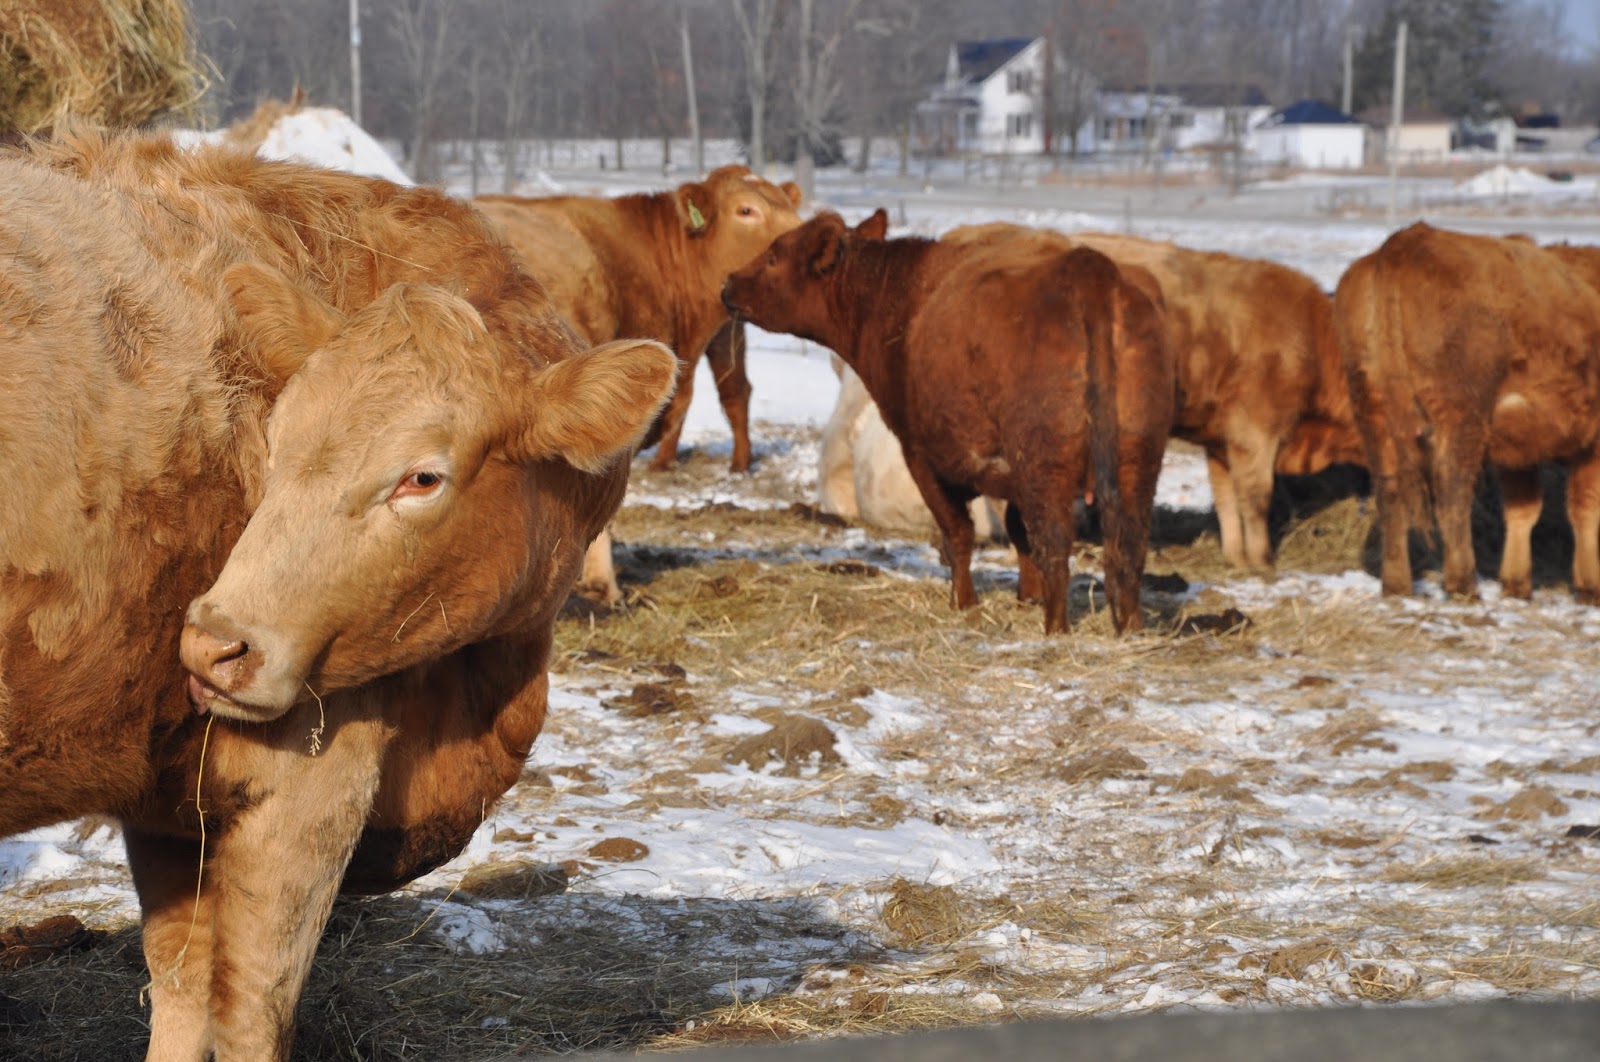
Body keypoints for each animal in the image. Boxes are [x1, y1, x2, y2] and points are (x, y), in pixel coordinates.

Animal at [0, 129, 677, 1060]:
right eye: (274, 437)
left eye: (422, 477)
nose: (212, 645)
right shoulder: (313, 775)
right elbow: (252, 1007)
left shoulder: (171, 803)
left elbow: (181, 985)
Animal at [723, 210, 1175, 634]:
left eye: (774, 256)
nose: (728, 282)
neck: (897, 300)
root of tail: (1088, 270)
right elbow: (1016, 531)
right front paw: (1026, 597)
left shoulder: (922, 455)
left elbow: (958, 532)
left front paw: (964, 602)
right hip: (1137, 462)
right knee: (1128, 546)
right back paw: (1130, 628)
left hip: (1044, 463)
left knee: (1055, 543)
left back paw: (1056, 629)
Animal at [943, 225, 1365, 571]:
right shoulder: (1255, 432)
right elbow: (1256, 498)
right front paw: (1261, 562)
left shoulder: (1221, 439)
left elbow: (1226, 497)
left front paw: (1235, 556)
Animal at [1334, 222, 1600, 603]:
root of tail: (1409, 240)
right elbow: (1584, 509)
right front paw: (1589, 586)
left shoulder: (1519, 449)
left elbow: (1523, 509)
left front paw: (1516, 584)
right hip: (1462, 416)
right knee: (1453, 490)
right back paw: (1463, 584)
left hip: (1373, 410)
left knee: (1390, 493)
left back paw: (1397, 586)